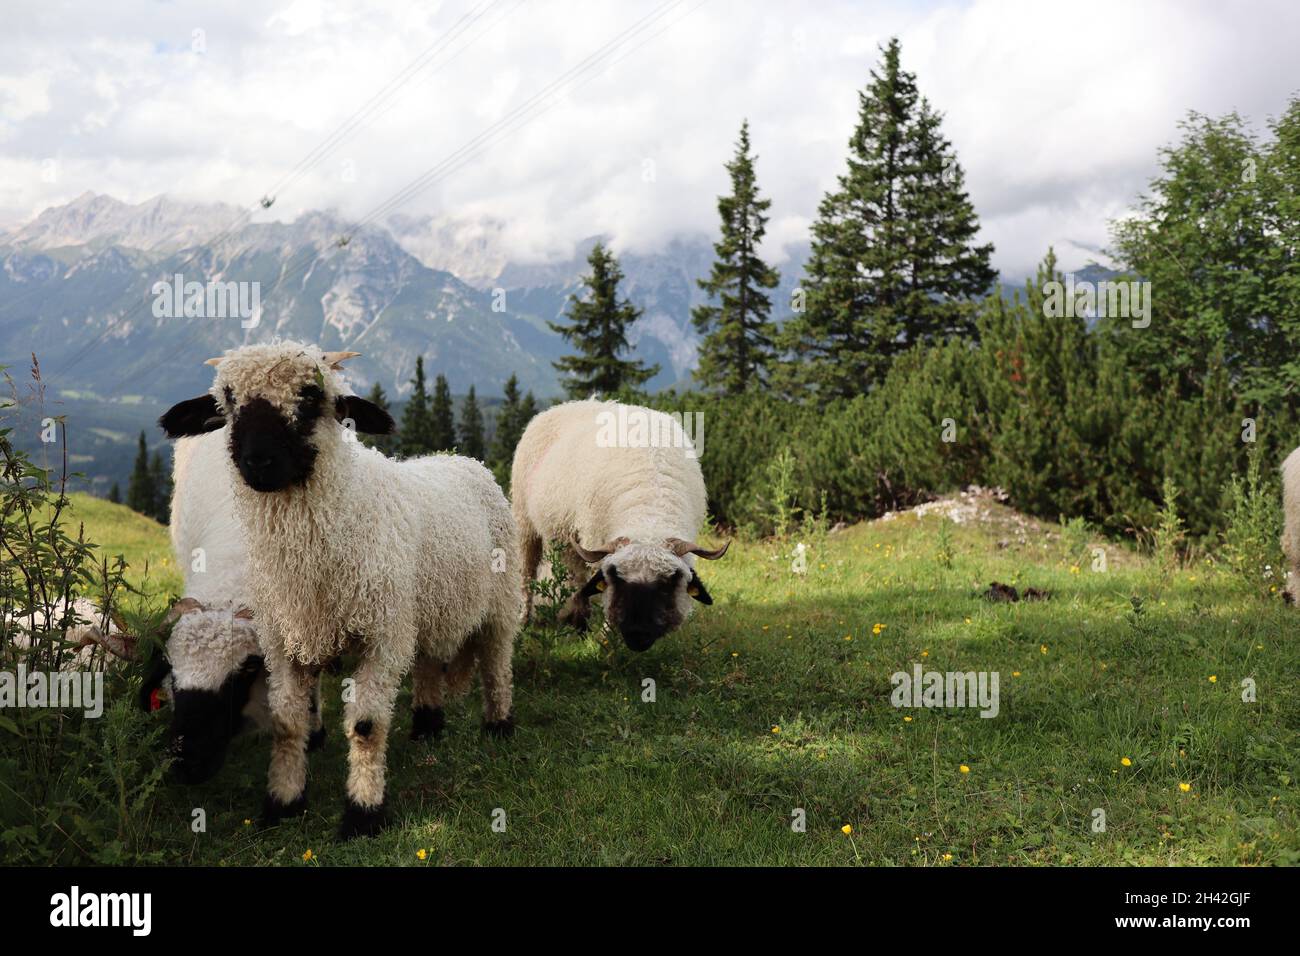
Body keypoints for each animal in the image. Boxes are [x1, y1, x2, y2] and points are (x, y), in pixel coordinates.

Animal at [159, 342, 521, 839]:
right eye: (228, 400)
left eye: (312, 396)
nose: (258, 461)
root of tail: (464, 459)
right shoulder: (284, 641)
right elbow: (286, 723)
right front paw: (283, 803)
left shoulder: (382, 637)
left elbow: (366, 726)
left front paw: (363, 813)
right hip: (422, 606)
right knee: (429, 659)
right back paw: (427, 725)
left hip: (500, 601)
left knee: (497, 662)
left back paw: (498, 723)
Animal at [510, 399, 729, 651]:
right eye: (617, 579)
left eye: (667, 584)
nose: (637, 636)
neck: (648, 515)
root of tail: (571, 404)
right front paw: (602, 637)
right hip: (525, 523)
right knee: (529, 575)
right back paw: (528, 620)